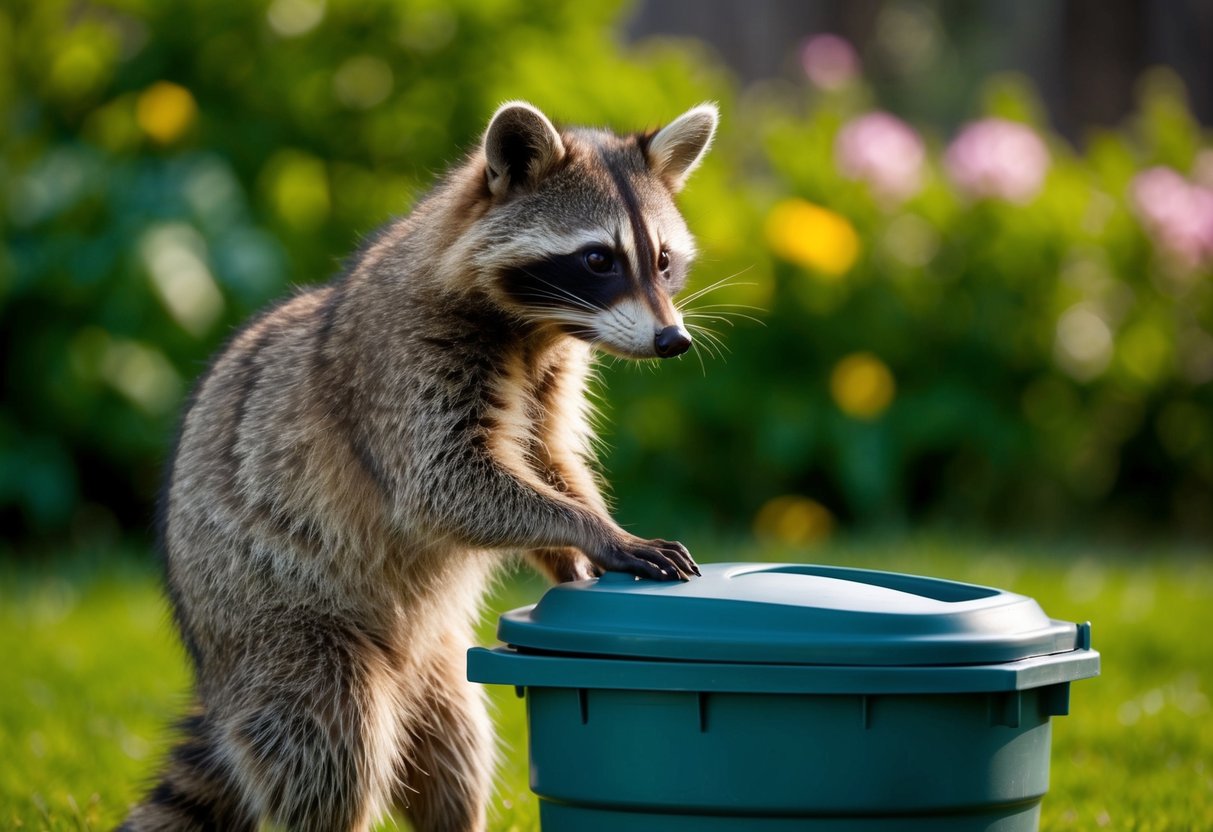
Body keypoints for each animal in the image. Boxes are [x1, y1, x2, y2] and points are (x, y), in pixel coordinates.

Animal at [120, 101, 717, 832]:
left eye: (662, 260)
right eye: (598, 259)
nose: (672, 340)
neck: (537, 327)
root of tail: (216, 676)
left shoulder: (550, 373)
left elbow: (546, 454)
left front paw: (575, 540)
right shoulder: (403, 359)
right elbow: (444, 484)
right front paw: (591, 530)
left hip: (434, 664)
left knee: (455, 751)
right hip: (276, 625)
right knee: (329, 741)